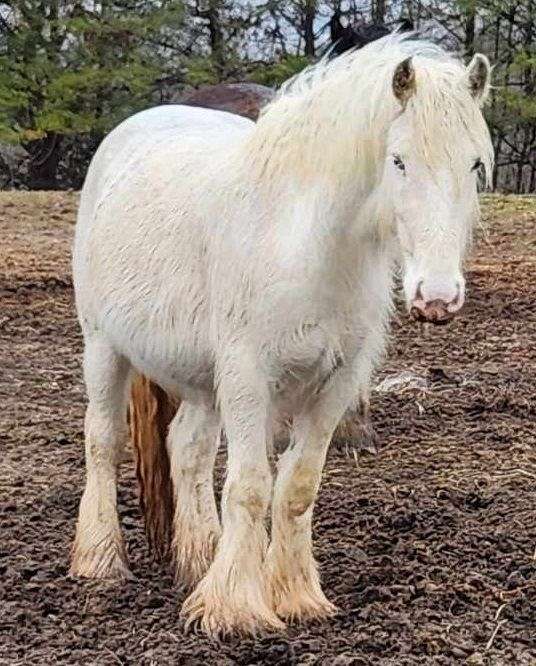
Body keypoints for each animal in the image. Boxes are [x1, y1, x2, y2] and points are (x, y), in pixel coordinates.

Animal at [70, 34, 493, 636]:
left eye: (475, 163)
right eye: (399, 160)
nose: (437, 297)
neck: (304, 244)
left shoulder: (336, 383)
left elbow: (295, 488)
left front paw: (293, 596)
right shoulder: (249, 376)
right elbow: (249, 486)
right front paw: (234, 609)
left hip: (203, 381)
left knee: (187, 450)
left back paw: (200, 557)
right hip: (104, 347)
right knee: (103, 441)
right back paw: (100, 560)